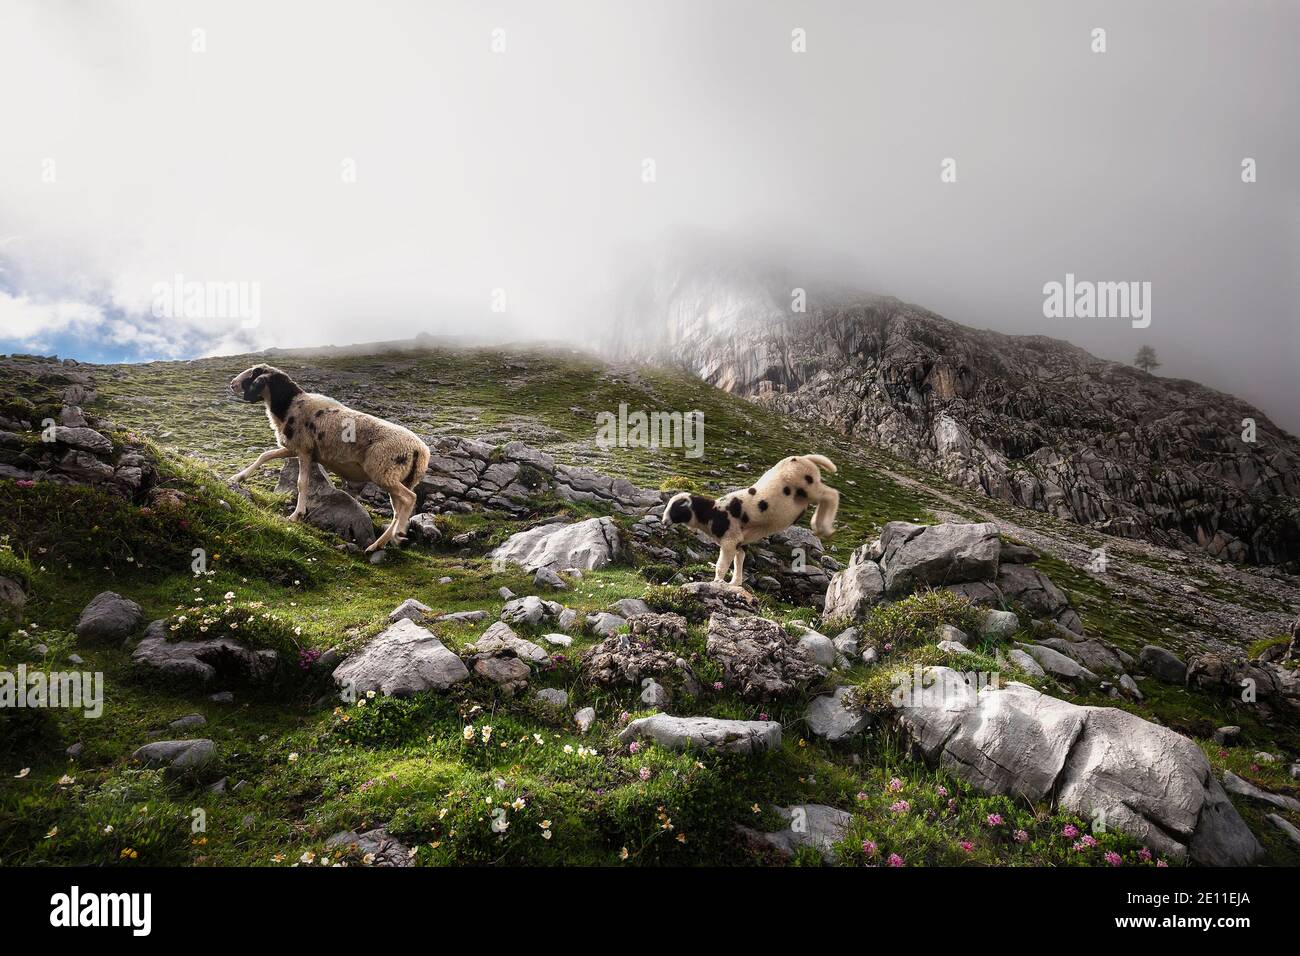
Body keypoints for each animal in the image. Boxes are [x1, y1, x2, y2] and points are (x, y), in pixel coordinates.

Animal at [228, 364, 430, 553]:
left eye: (253, 373)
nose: (232, 384)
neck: (288, 404)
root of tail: (420, 451)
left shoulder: (304, 450)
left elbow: (302, 483)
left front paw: (296, 515)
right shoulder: (294, 448)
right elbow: (265, 455)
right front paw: (238, 478)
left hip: (383, 472)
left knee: (410, 498)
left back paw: (398, 533)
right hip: (396, 478)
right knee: (398, 510)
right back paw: (377, 545)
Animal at [661, 454, 840, 588]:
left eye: (676, 507)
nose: (663, 521)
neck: (713, 512)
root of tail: (803, 458)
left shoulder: (729, 540)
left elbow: (721, 565)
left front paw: (717, 582)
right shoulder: (740, 542)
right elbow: (738, 562)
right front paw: (734, 583)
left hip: (809, 488)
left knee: (831, 494)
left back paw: (822, 527)